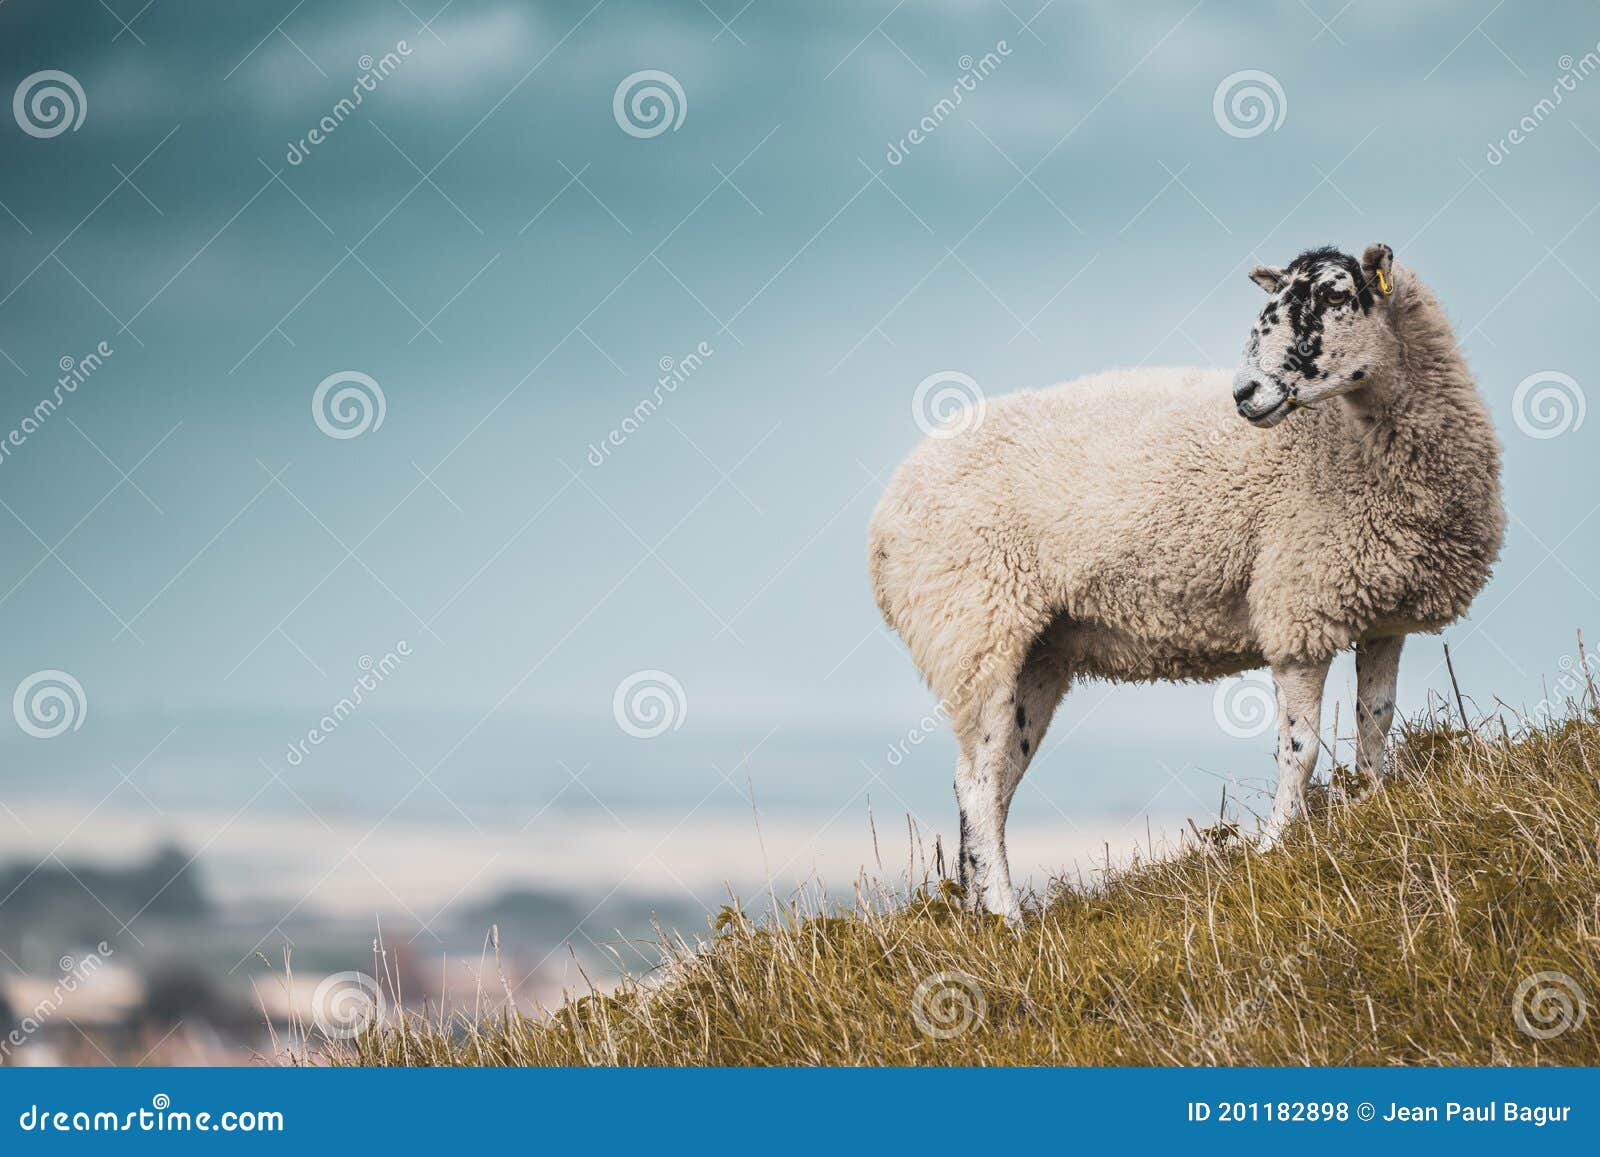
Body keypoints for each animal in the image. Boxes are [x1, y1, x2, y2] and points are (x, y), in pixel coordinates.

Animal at [868, 243, 1505, 921]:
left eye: (1336, 295)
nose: (1245, 393)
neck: (1357, 443)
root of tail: (883, 521)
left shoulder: (1379, 611)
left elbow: (1375, 723)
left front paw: (1375, 806)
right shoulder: (1297, 610)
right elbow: (1300, 749)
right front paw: (1276, 849)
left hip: (1033, 652)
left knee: (997, 779)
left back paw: (980, 912)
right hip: (974, 626)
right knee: (978, 783)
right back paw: (1006, 917)